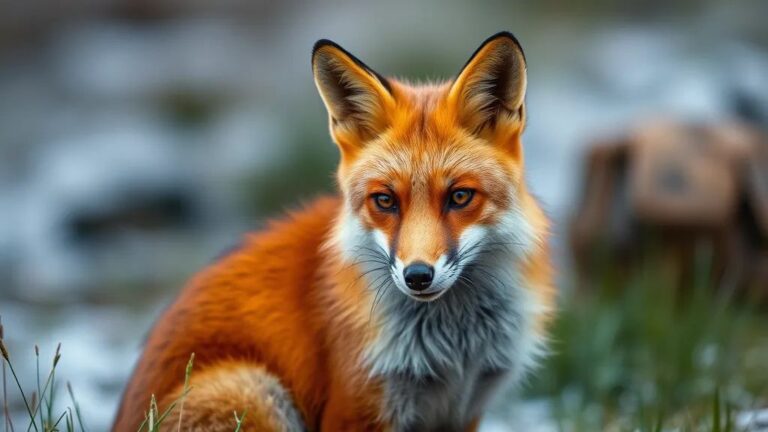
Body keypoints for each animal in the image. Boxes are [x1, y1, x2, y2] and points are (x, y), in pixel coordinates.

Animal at [113, 31, 554, 432]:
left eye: (460, 197)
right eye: (385, 201)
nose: (417, 276)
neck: (456, 351)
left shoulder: (464, 410)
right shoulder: (357, 410)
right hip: (253, 391)